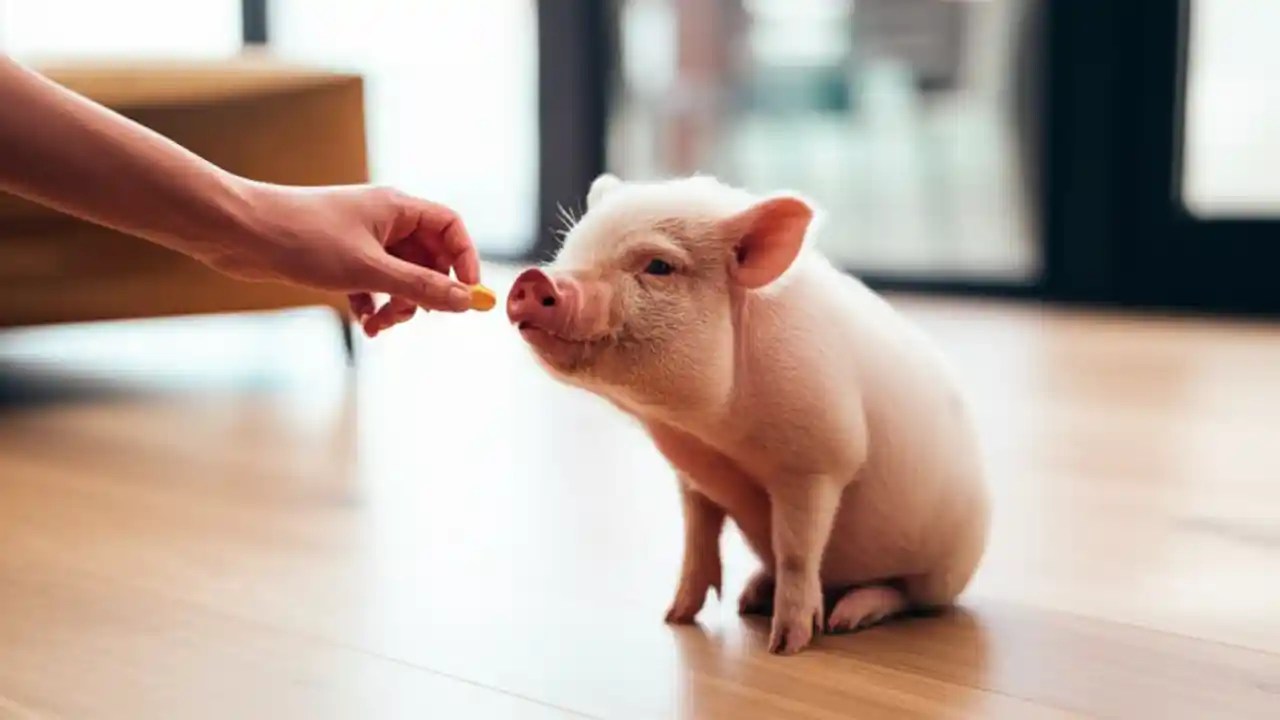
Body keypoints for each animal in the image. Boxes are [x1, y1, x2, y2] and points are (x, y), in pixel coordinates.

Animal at [506, 174, 989, 655]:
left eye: (658, 266)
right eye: (571, 246)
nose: (534, 278)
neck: (710, 436)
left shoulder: (820, 459)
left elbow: (796, 551)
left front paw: (786, 645)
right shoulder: (691, 478)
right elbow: (696, 541)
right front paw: (675, 618)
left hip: (944, 570)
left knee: (908, 595)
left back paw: (845, 617)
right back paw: (751, 597)